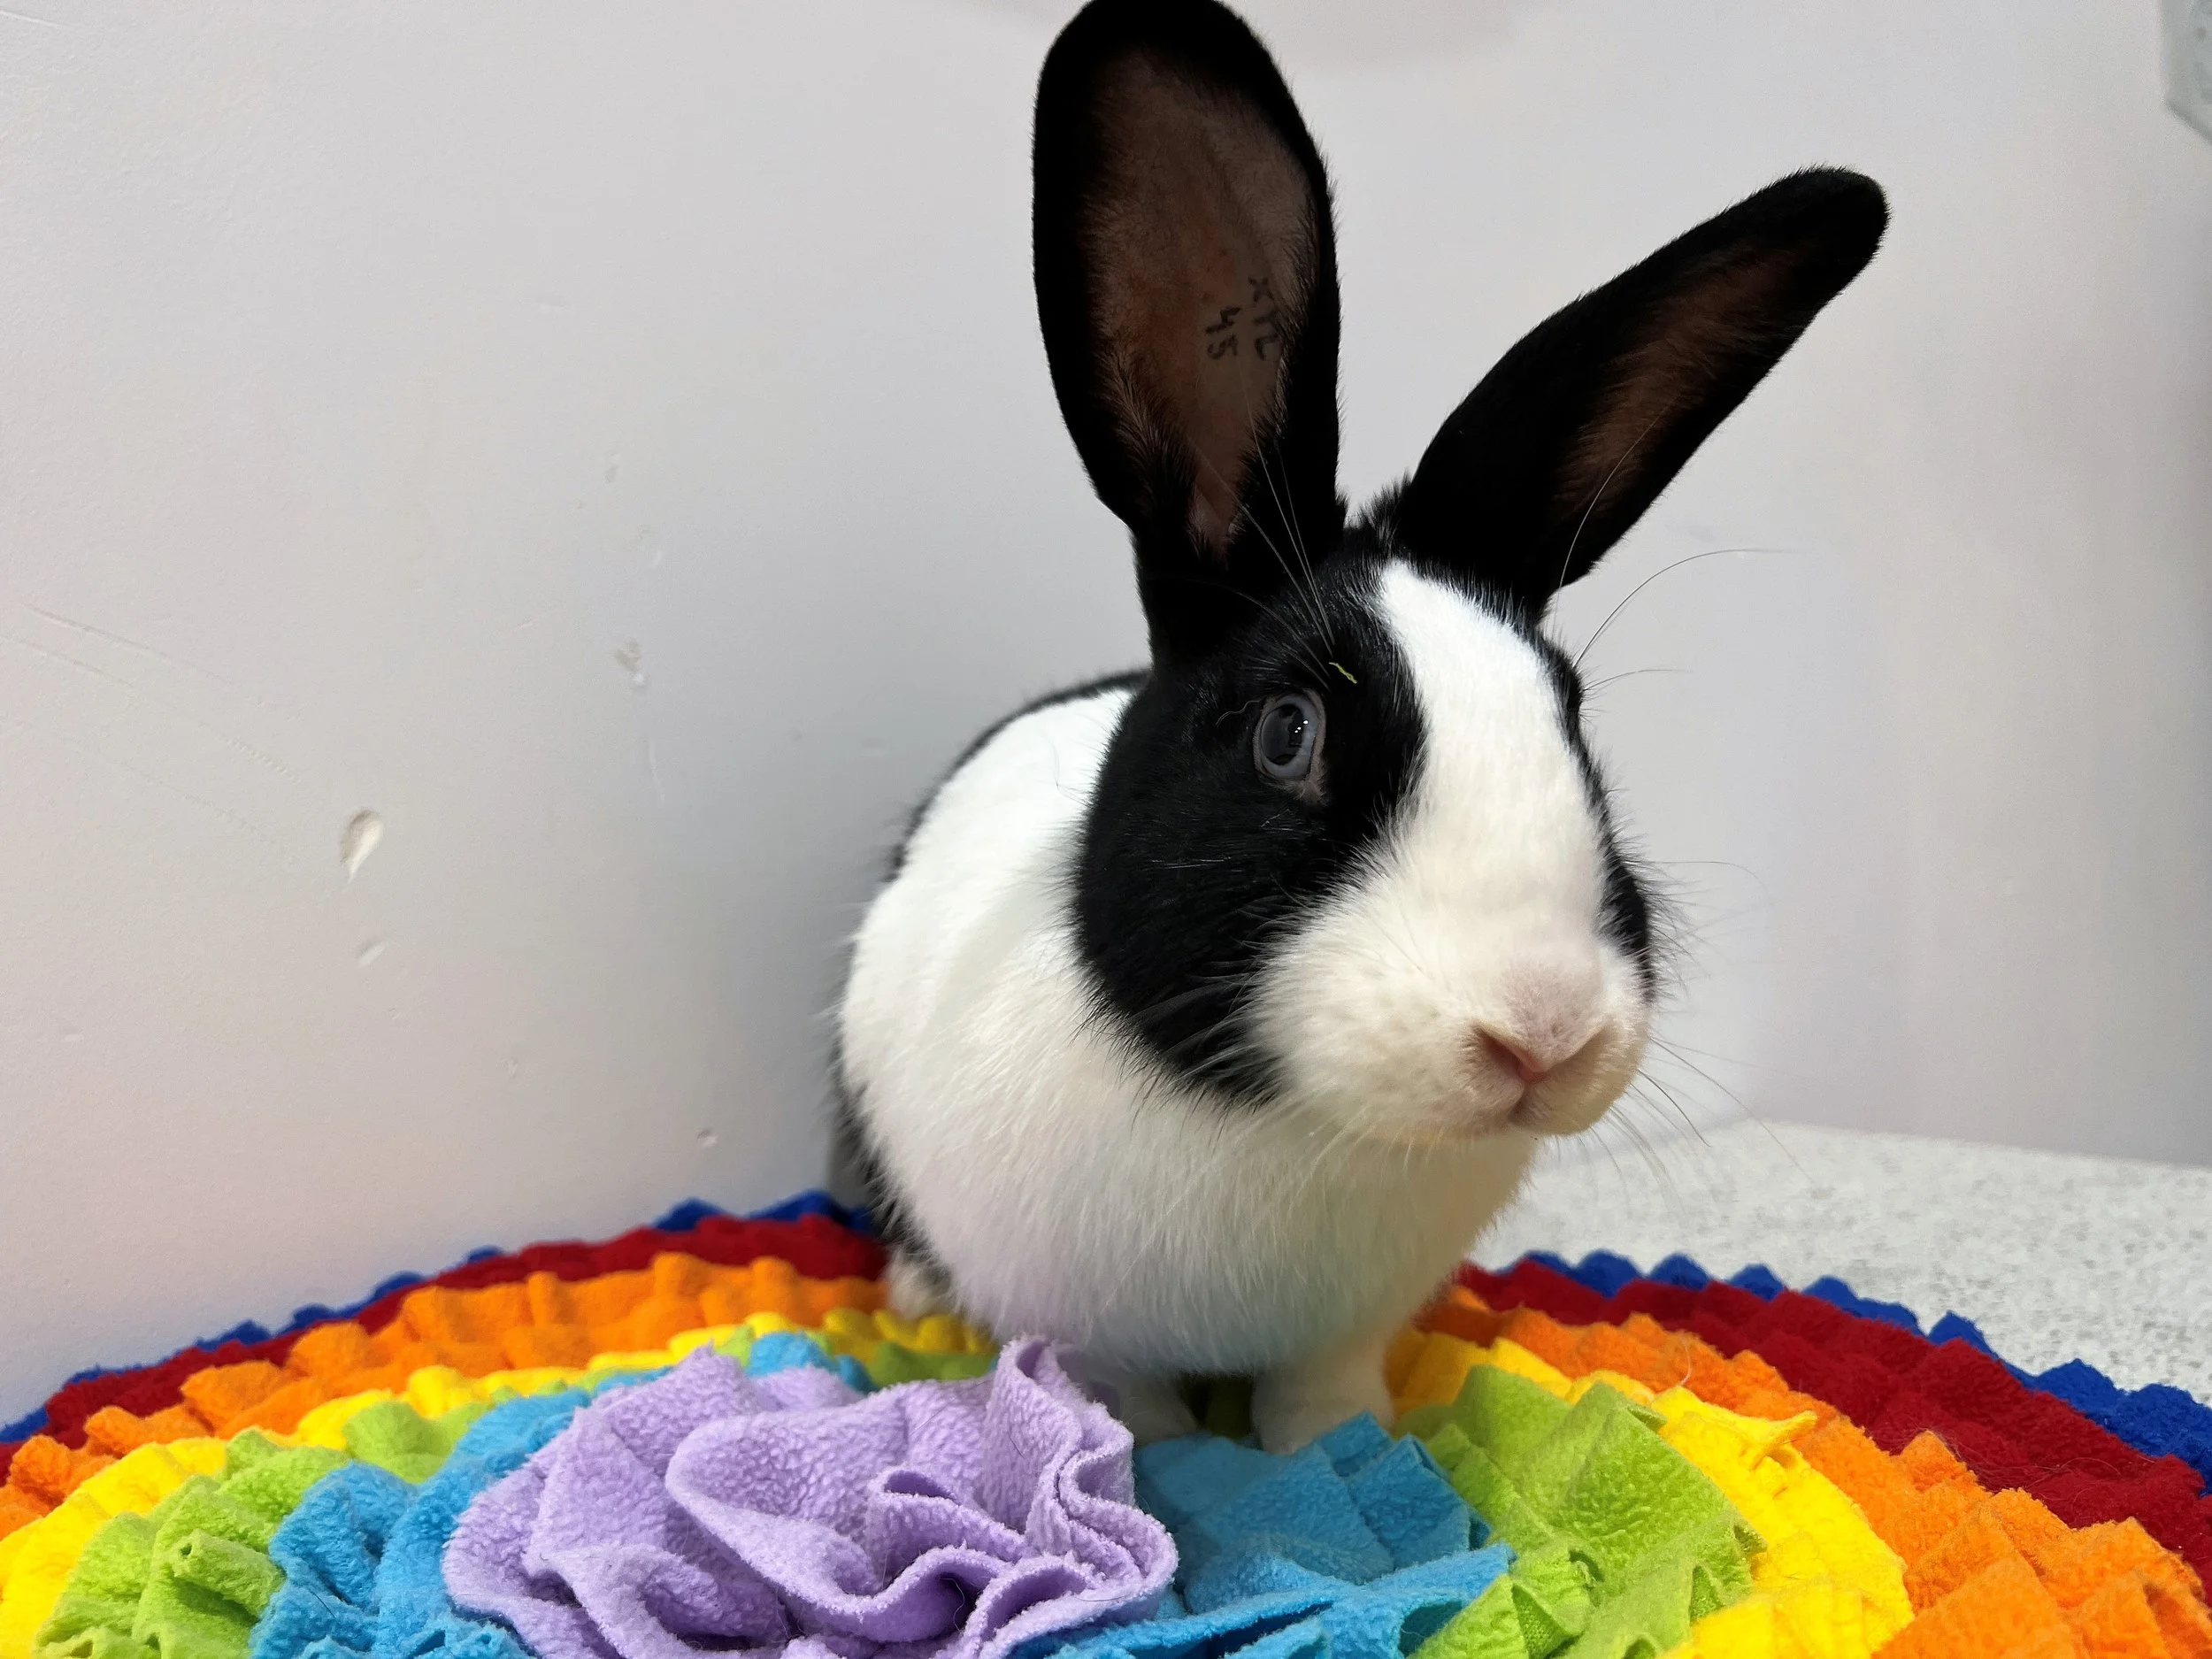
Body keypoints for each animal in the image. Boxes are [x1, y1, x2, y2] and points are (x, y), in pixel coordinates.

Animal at [833, 0, 1886, 1452]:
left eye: (1574, 724)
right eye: (1288, 733)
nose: (1544, 1030)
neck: (1289, 1119)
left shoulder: (1346, 1326)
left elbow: (1319, 1396)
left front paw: (1346, 1455)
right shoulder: (1091, 1331)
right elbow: (1133, 1414)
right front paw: (1167, 1465)